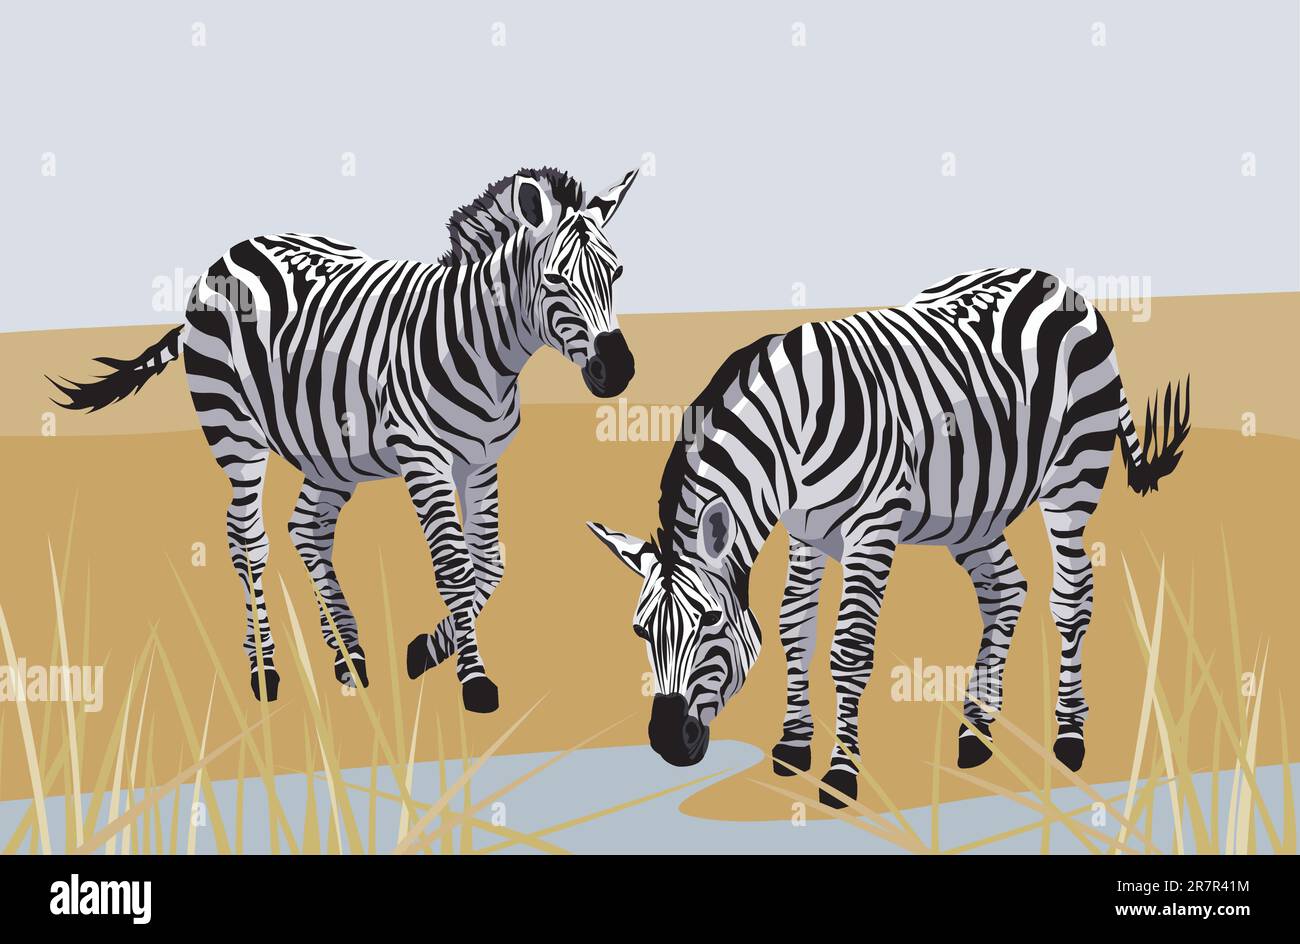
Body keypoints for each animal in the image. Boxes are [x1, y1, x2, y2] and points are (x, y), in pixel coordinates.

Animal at [52, 166, 640, 711]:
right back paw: (264, 668)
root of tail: (229, 254)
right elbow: (455, 569)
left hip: (328, 449)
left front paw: (425, 650)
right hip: (234, 429)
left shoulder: (483, 459)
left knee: (306, 530)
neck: (483, 351)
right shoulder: (423, 457)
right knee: (247, 539)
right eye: (555, 280)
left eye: (617, 272)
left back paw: (347, 654)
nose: (618, 370)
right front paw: (473, 681)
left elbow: (489, 564)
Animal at [589, 267, 1189, 808]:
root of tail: (1059, 284)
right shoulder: (805, 533)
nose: (669, 743)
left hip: (1074, 472)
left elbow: (849, 649)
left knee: (1071, 596)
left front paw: (840, 774)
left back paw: (1068, 737)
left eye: (710, 624)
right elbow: (794, 631)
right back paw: (976, 731)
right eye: (641, 632)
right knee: (1005, 589)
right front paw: (793, 745)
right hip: (973, 507)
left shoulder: (871, 529)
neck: (790, 432)